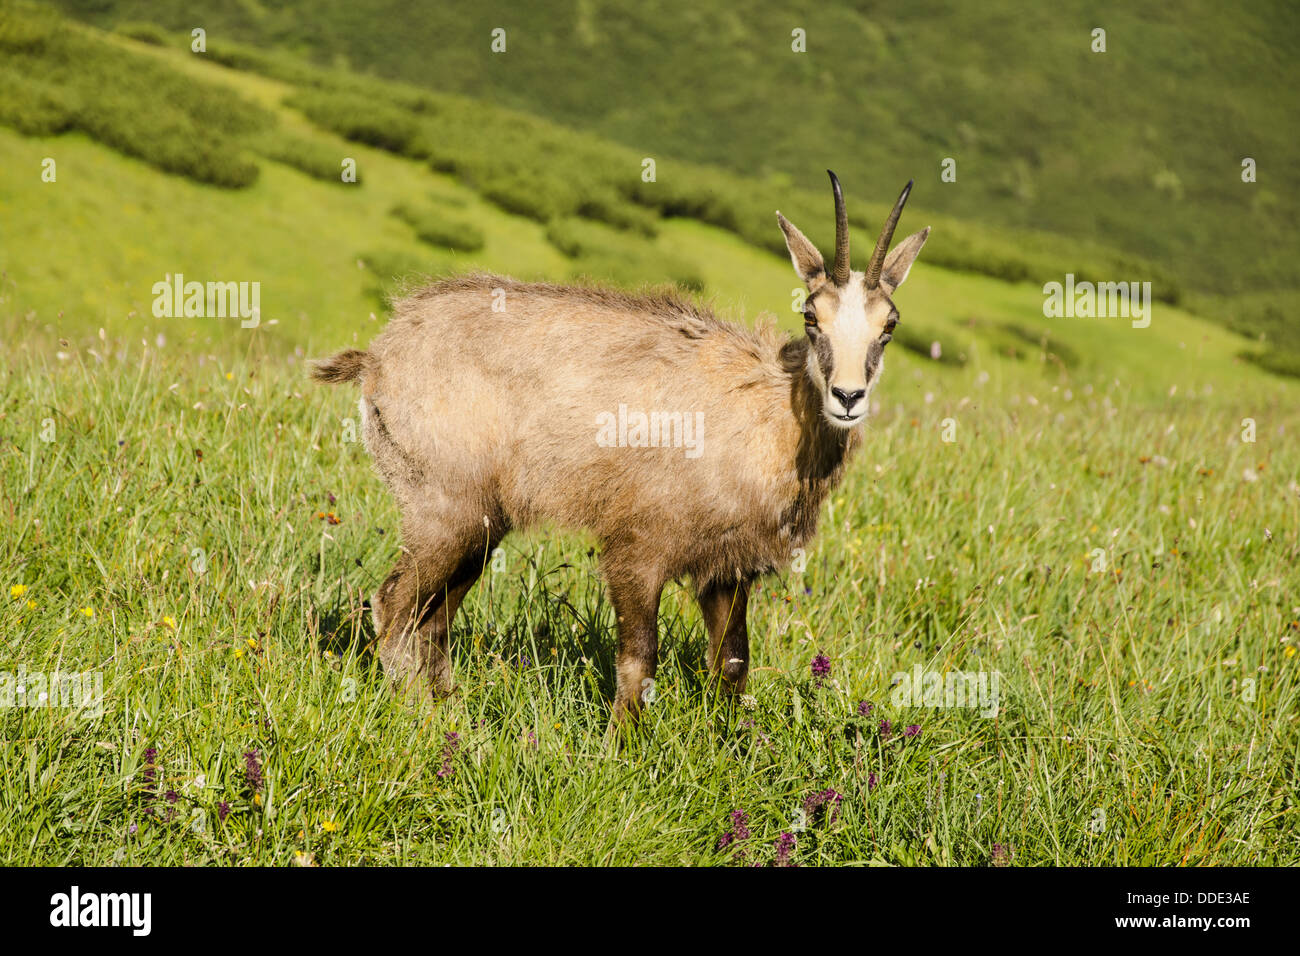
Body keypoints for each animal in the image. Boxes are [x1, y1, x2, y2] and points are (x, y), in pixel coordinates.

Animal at [312, 171, 929, 726]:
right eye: (810, 316)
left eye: (890, 325)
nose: (847, 397)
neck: (766, 416)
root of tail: (379, 355)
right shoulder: (637, 547)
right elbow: (639, 662)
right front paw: (622, 750)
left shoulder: (729, 568)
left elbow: (732, 663)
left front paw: (730, 745)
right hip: (443, 508)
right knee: (394, 608)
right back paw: (424, 717)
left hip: (480, 521)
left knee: (432, 621)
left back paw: (452, 712)